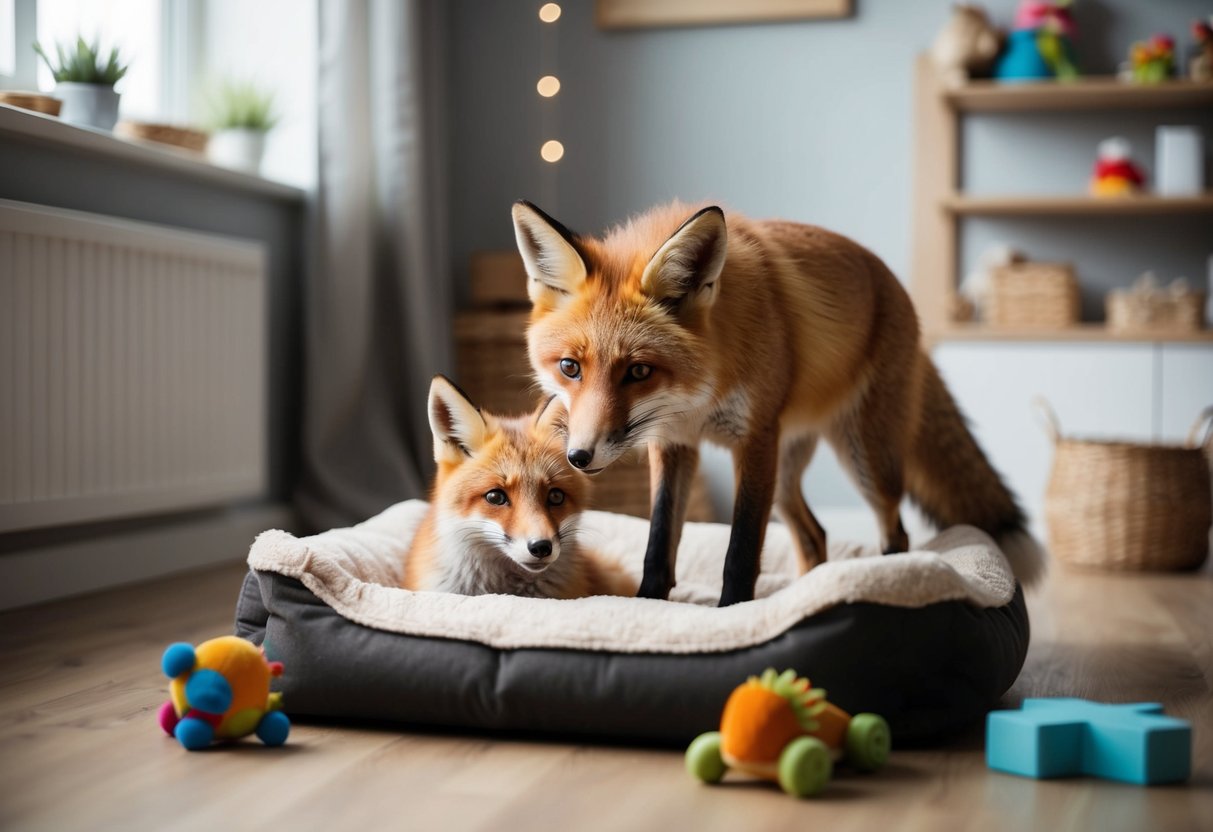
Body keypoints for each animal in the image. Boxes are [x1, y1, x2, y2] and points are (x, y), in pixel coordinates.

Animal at [512, 200, 1042, 606]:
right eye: (570, 368)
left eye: (638, 372)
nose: (580, 456)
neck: (698, 398)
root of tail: (900, 290)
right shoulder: (673, 444)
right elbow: (658, 545)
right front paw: (648, 608)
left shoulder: (754, 441)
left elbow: (741, 550)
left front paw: (733, 615)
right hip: (786, 478)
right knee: (815, 536)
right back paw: (807, 596)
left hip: (864, 460)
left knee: (896, 533)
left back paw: (888, 583)